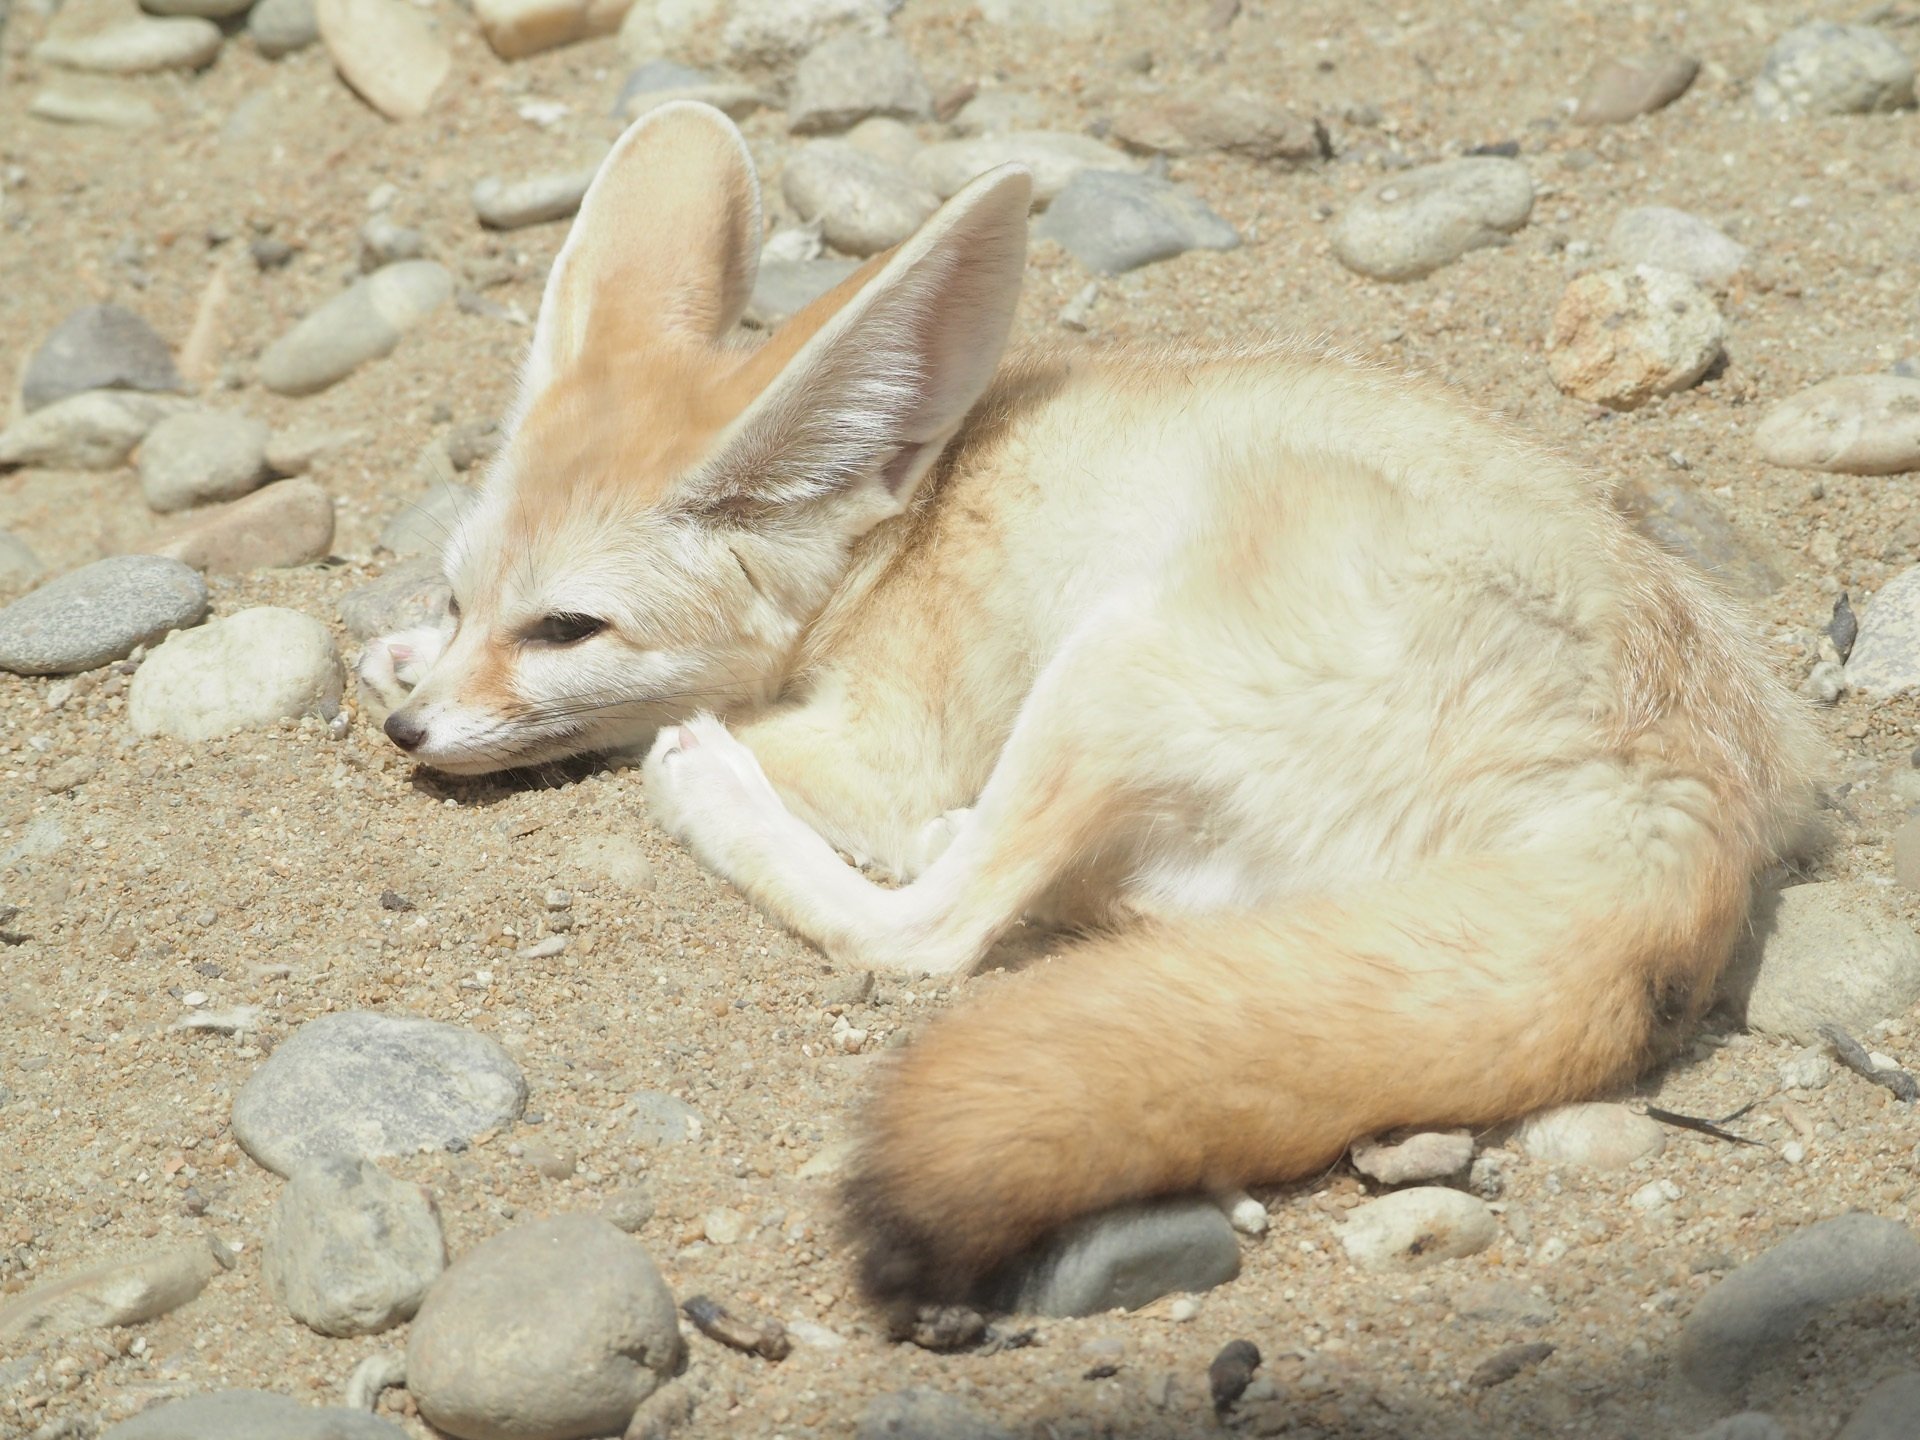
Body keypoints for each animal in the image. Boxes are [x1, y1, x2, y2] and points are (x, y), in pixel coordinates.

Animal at [363, 100, 1816, 1309]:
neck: (900, 531)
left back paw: (727, 795)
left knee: (930, 933)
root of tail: (1690, 807)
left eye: (567, 629)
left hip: (1117, 660)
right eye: (462, 594)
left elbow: (730, 770)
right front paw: (393, 654)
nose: (410, 738)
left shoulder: (887, 744)